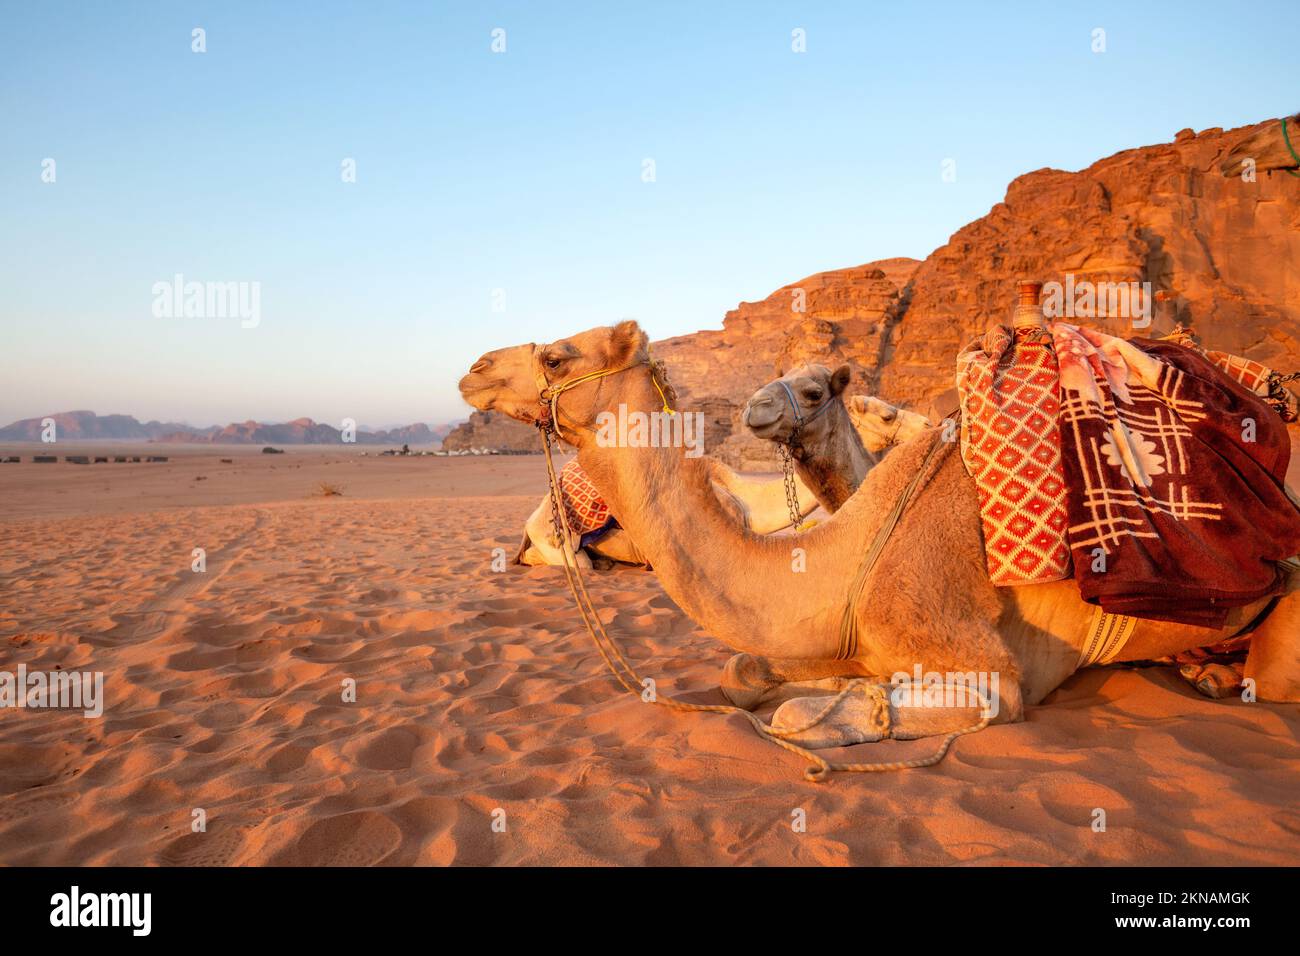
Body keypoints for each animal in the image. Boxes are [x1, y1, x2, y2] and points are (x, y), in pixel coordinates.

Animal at [460, 321, 1300, 752]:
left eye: (558, 354)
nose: (473, 368)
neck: (849, 553)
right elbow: (746, 674)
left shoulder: (988, 666)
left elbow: (803, 715)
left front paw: (832, 712)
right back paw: (1205, 670)